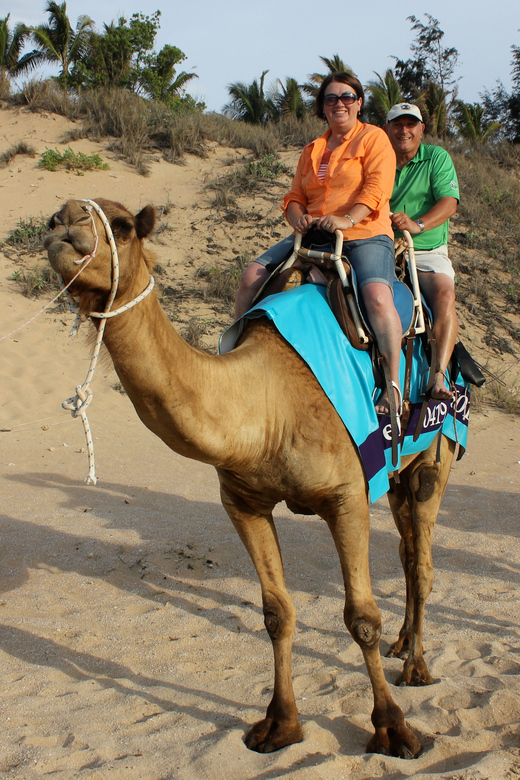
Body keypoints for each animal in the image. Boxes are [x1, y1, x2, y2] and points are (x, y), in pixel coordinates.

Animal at [45, 198, 456, 758]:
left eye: (124, 226)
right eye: (58, 217)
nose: (63, 221)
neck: (267, 402)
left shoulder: (346, 495)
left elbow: (361, 618)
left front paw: (394, 729)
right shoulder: (243, 501)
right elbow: (276, 613)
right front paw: (279, 724)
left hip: (434, 457)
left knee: (423, 561)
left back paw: (416, 666)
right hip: (396, 479)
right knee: (409, 550)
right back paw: (403, 644)